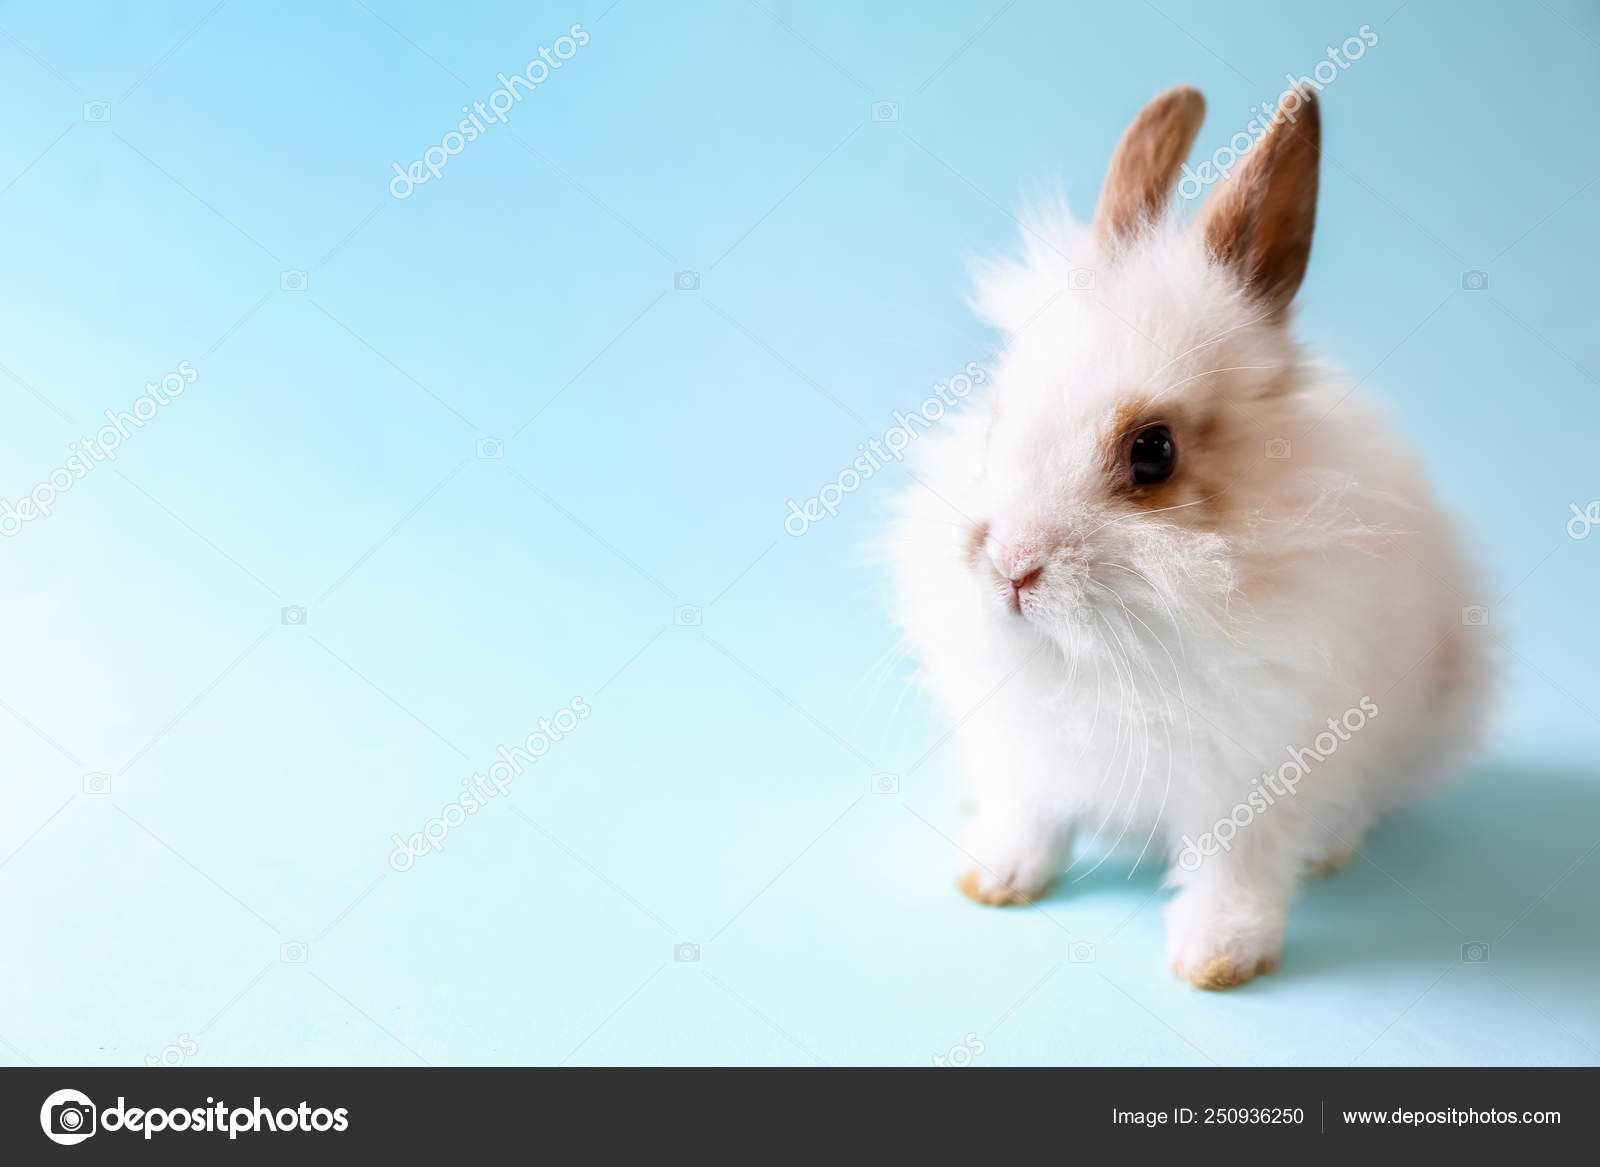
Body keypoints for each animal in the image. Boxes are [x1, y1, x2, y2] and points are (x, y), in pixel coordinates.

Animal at [889, 84, 1492, 989]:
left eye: (1153, 452)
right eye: (996, 417)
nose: (1011, 568)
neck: (1112, 649)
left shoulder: (1254, 779)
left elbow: (1233, 870)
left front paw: (1218, 959)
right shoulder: (1029, 755)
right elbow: (1030, 818)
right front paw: (994, 881)